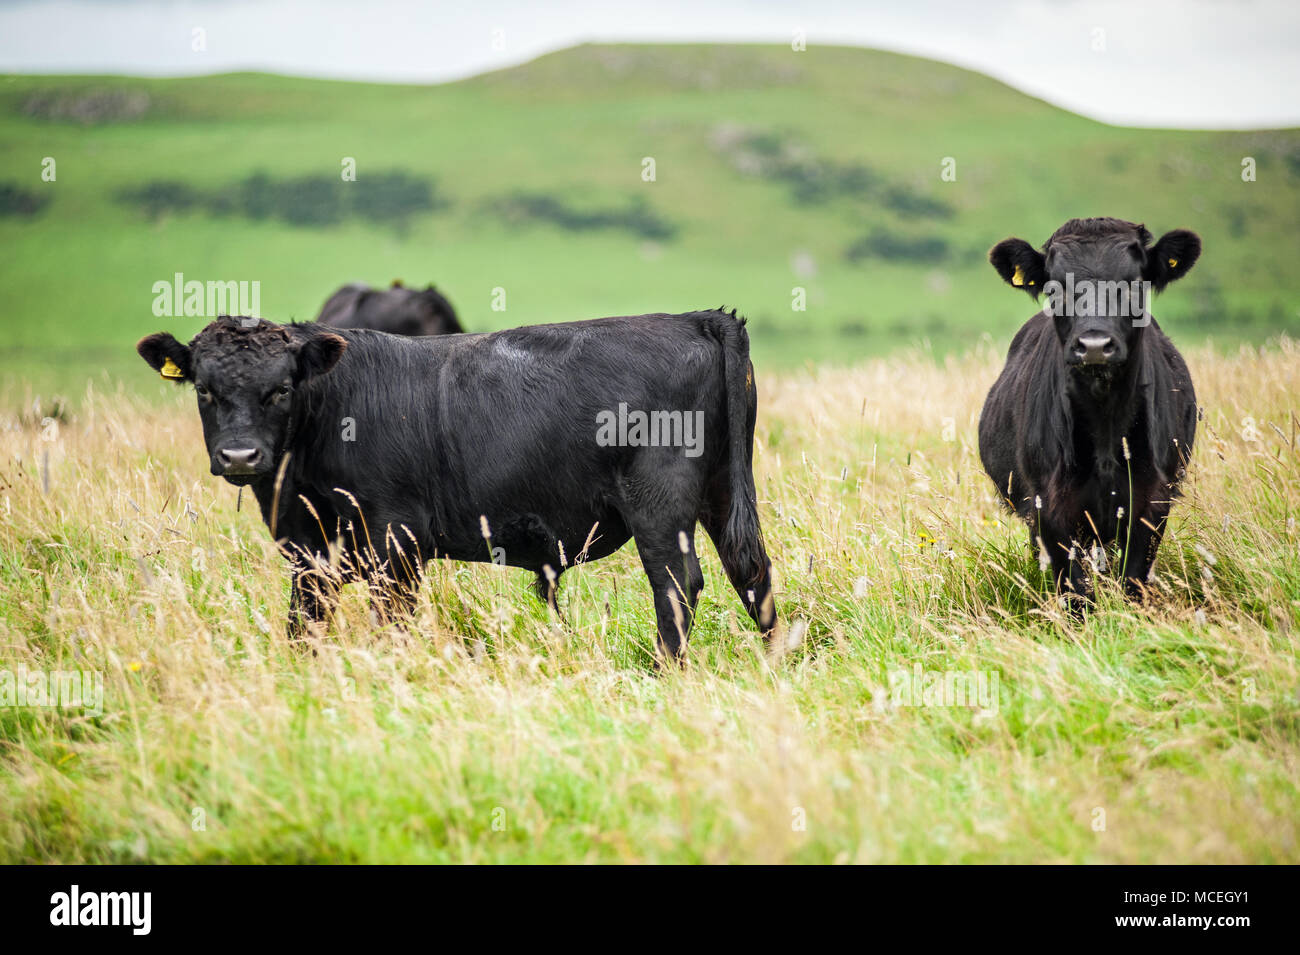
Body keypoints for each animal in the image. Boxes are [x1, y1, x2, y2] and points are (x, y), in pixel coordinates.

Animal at [137, 310, 774, 660]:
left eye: (282, 390)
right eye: (204, 390)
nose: (240, 455)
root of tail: (693, 317)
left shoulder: (396, 540)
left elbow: (391, 620)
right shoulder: (310, 550)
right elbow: (305, 619)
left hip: (660, 508)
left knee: (677, 585)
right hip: (722, 494)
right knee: (751, 572)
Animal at [977, 218, 1196, 605]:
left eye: (1134, 283)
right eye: (1055, 288)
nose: (1094, 346)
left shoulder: (1152, 500)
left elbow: (1133, 579)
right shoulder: (1049, 505)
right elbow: (1074, 589)